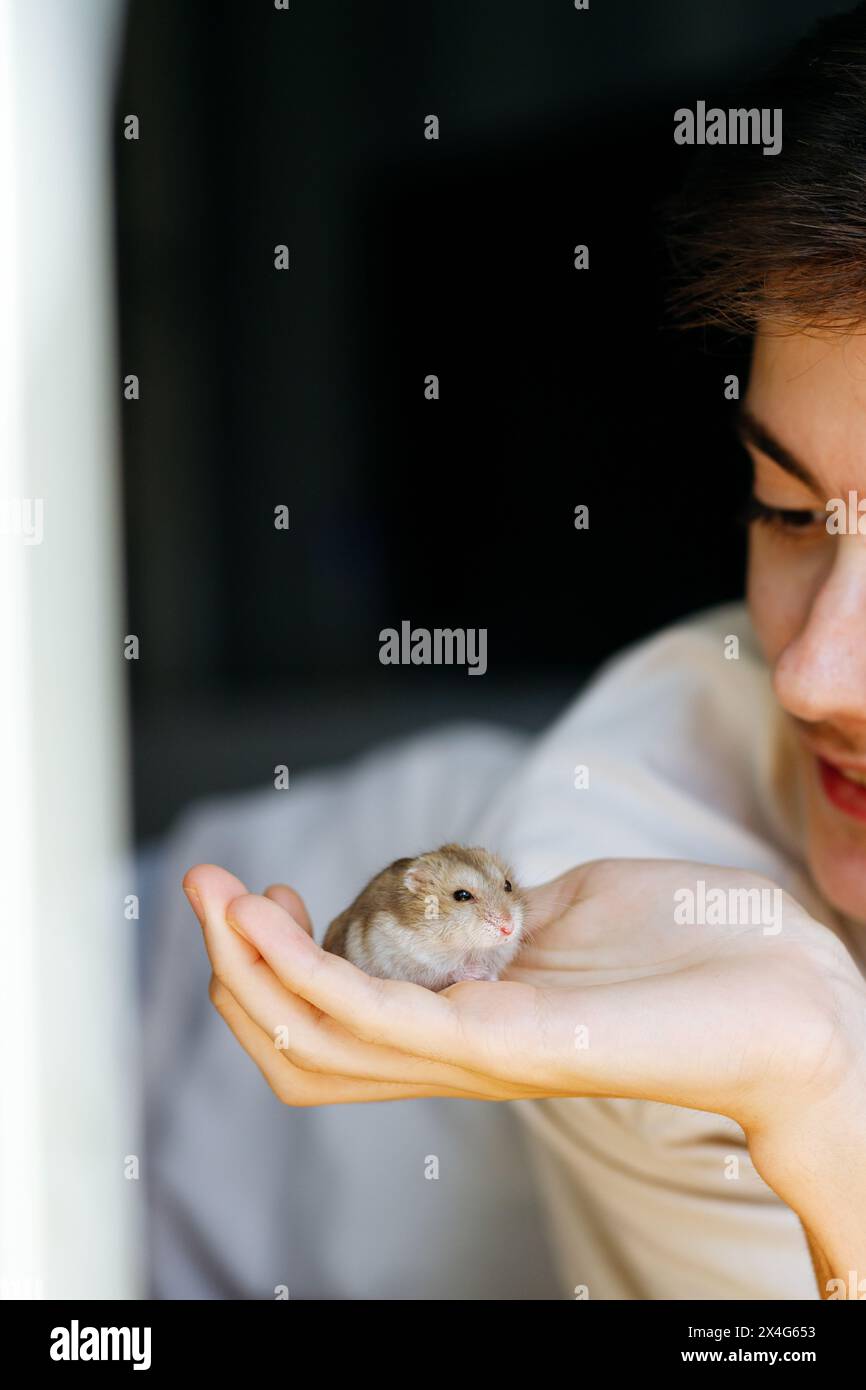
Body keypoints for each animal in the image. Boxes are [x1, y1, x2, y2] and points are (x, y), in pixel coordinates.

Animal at [322, 843, 528, 991]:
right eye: (462, 895)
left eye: (508, 885)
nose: (508, 929)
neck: (467, 948)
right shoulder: (412, 964)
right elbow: (447, 972)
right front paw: (476, 971)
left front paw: (491, 977)